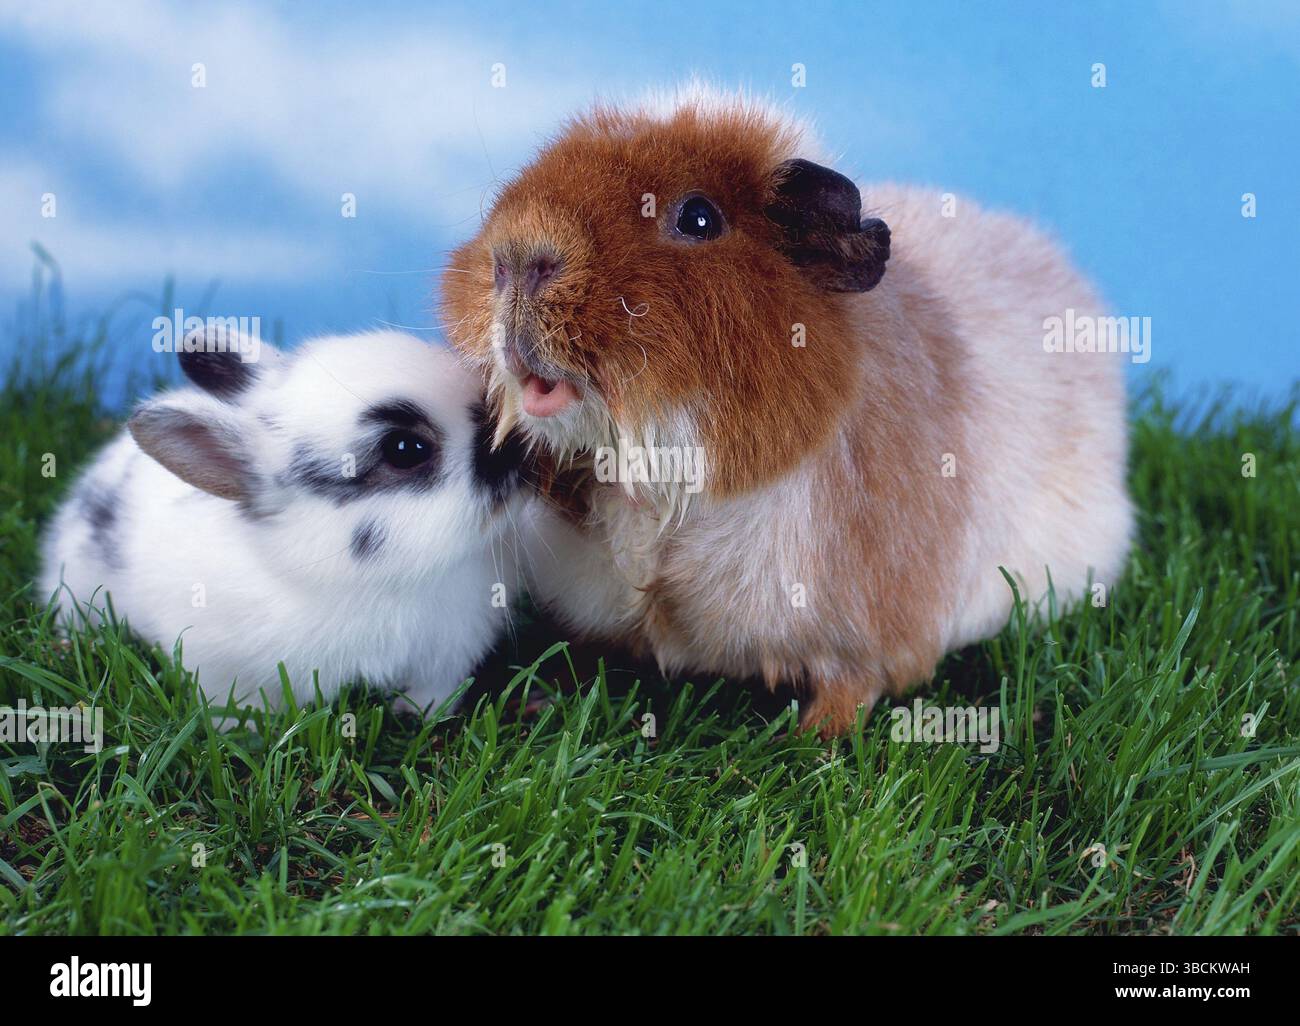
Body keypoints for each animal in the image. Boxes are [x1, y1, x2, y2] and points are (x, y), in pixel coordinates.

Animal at [439, 85, 1135, 737]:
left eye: (698, 218)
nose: (515, 259)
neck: (663, 495)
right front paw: (539, 697)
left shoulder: (860, 637)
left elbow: (851, 689)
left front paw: (808, 744)